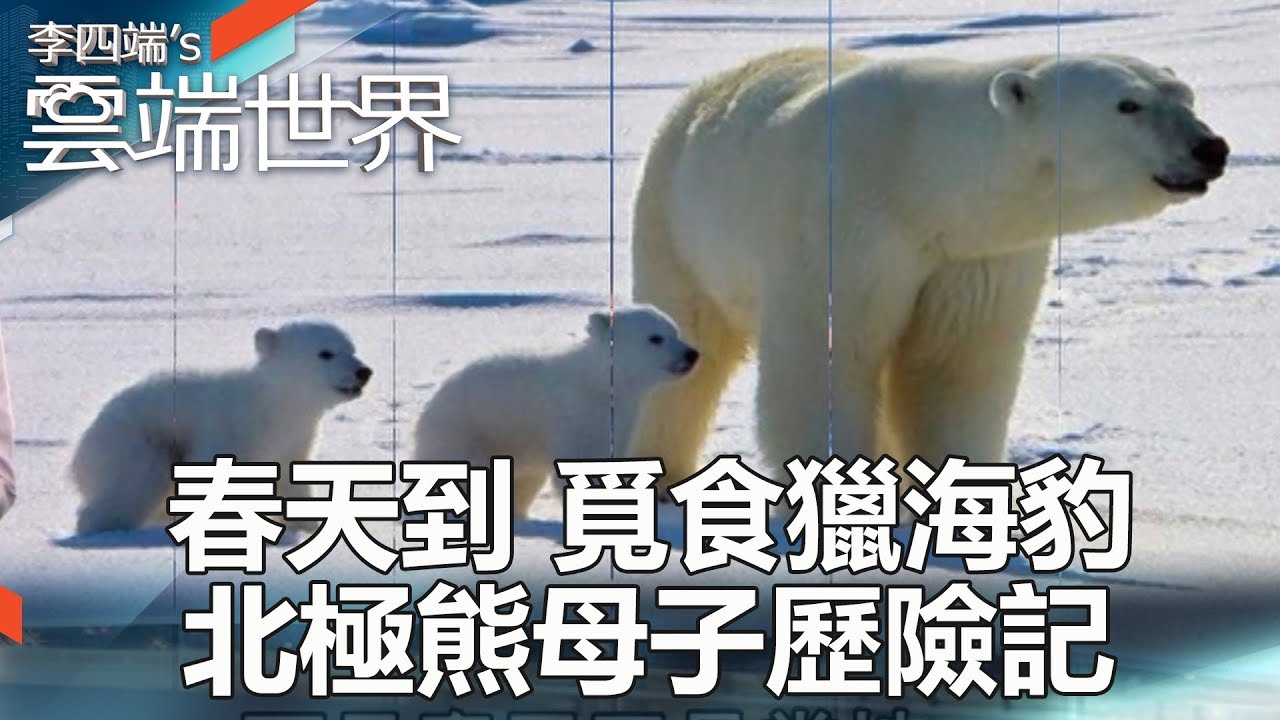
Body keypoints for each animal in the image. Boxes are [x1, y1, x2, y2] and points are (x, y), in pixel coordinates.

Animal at [70, 321, 373, 534]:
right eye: (326, 353)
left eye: (352, 348)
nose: (364, 372)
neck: (272, 406)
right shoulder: (227, 429)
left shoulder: (294, 440)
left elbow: (292, 483)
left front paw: (310, 524)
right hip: (135, 440)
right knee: (136, 481)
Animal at [411, 305, 700, 518]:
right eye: (655, 338)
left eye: (675, 330)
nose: (692, 354)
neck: (596, 383)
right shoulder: (574, 417)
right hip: (464, 431)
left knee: (523, 483)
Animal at [626, 48, 1229, 486]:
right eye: (1128, 105)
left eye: (1186, 95)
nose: (1212, 147)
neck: (920, 175)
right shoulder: (844, 227)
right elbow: (829, 357)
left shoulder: (973, 256)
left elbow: (953, 366)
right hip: (675, 223)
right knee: (685, 346)